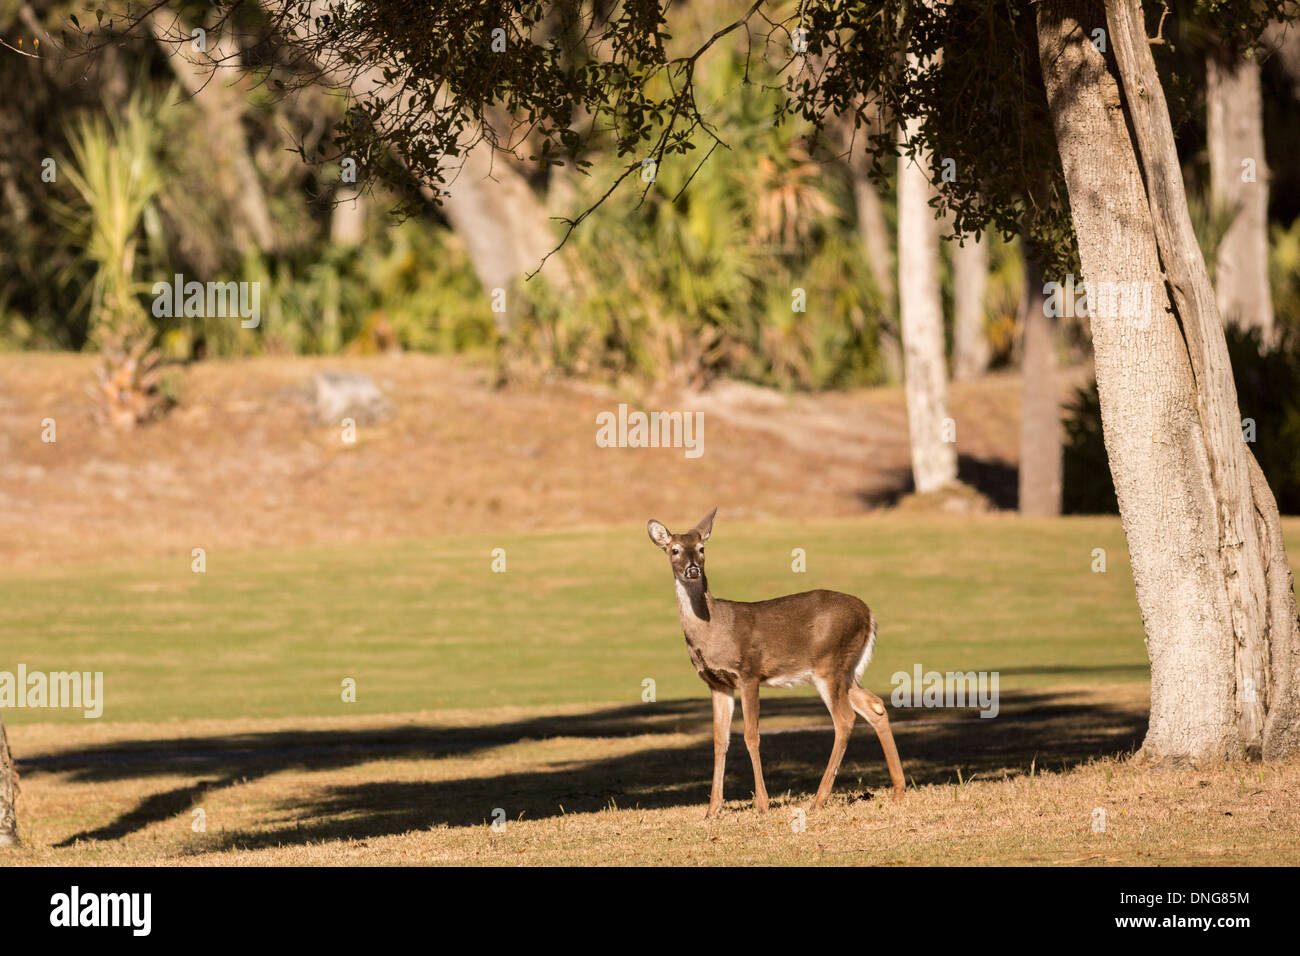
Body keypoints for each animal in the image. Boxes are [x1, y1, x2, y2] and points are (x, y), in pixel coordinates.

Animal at [647, 508, 906, 818]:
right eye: (674, 550)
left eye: (701, 549)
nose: (693, 569)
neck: (712, 629)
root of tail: (869, 614)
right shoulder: (716, 683)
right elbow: (720, 740)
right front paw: (712, 809)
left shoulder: (748, 673)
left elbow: (751, 735)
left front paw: (762, 804)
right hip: (847, 670)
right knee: (874, 706)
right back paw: (898, 790)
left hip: (830, 664)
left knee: (844, 719)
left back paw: (819, 799)